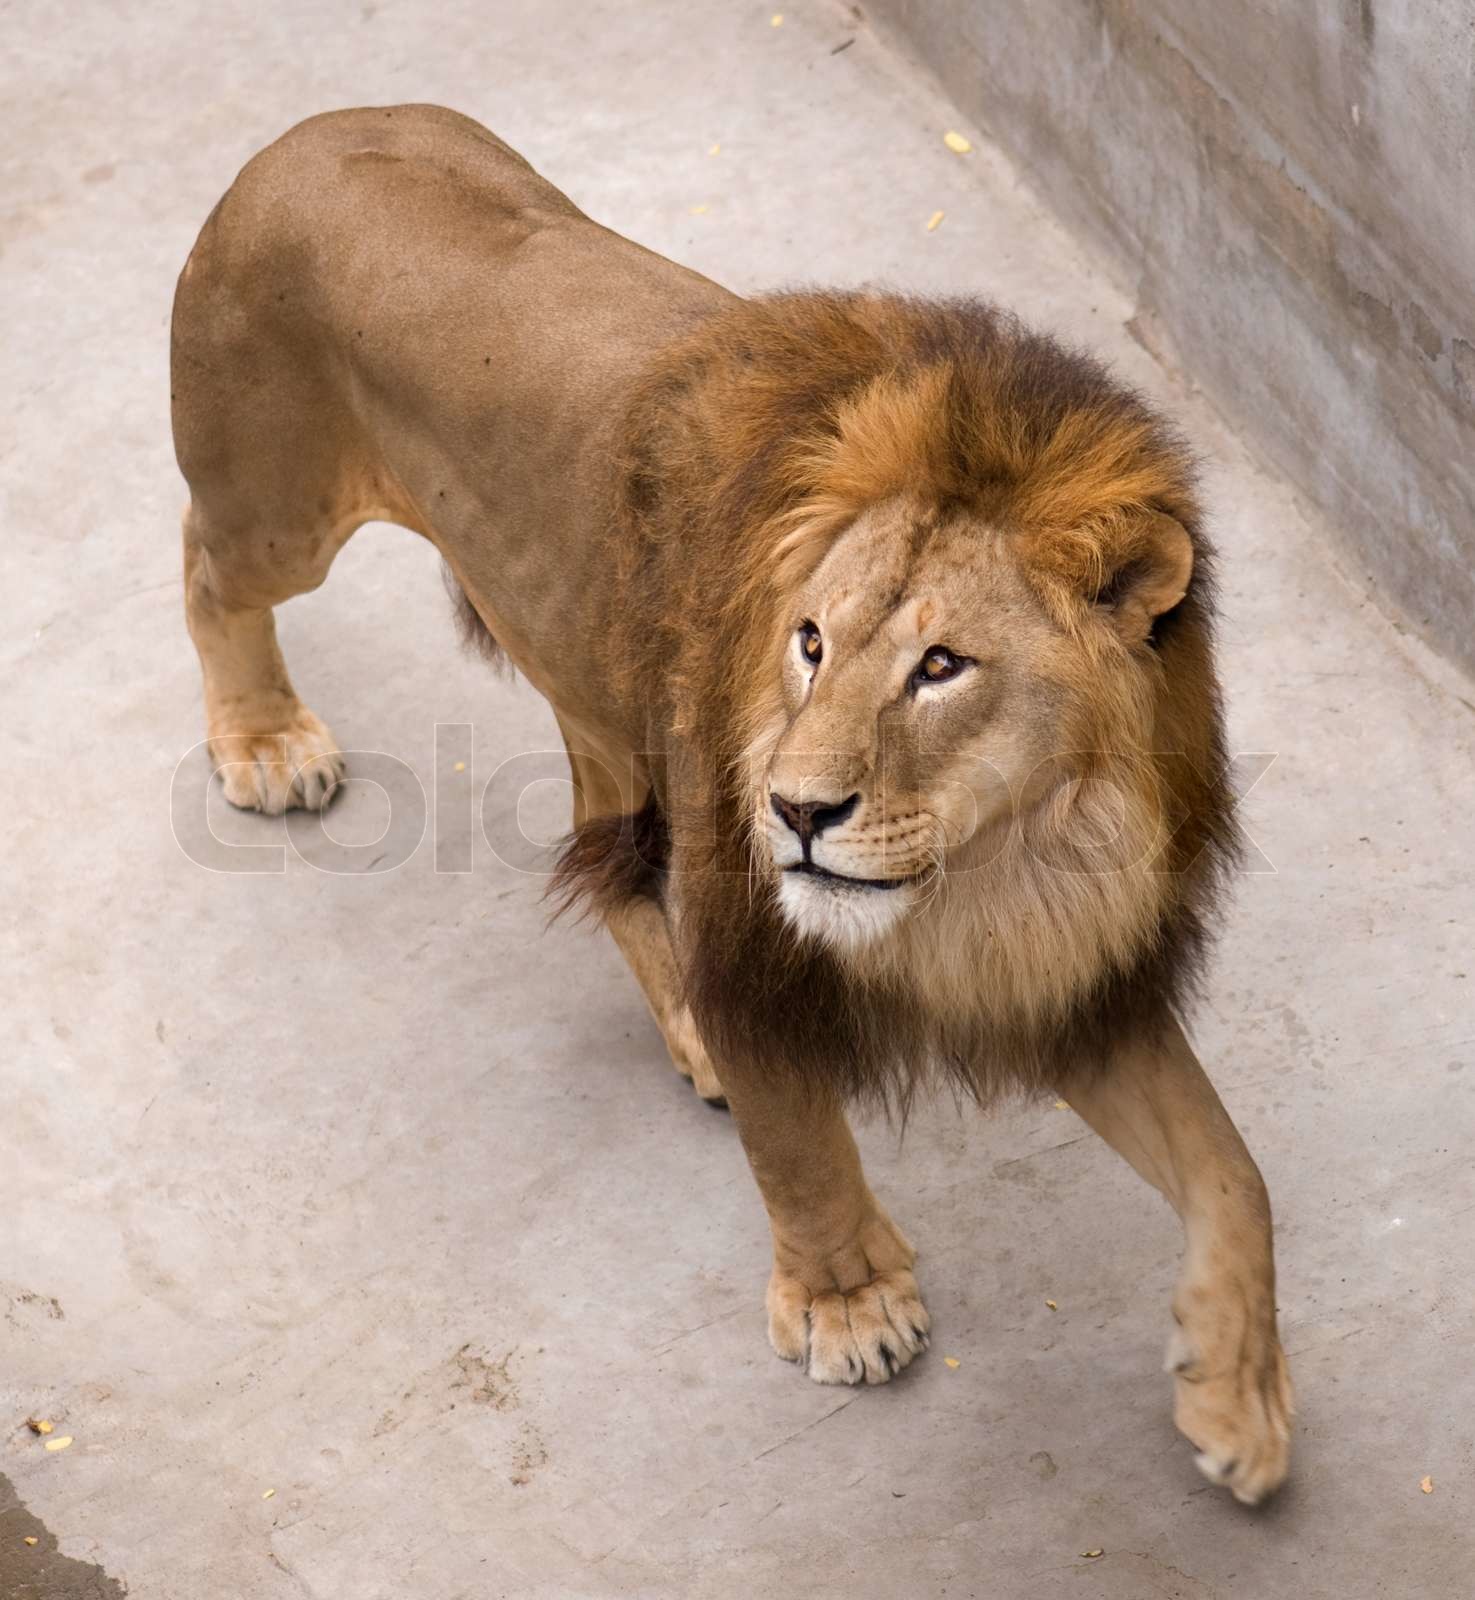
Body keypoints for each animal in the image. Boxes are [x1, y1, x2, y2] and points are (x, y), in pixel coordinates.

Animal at [171, 104, 1292, 1504]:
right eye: (809, 642)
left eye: (940, 665)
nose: (795, 811)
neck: (1004, 865)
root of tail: (312, 130)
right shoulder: (752, 926)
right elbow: (796, 1142)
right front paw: (848, 1302)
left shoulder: (1070, 976)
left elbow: (1231, 1172)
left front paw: (1237, 1398)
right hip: (282, 512)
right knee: (204, 567)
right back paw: (265, 740)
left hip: (594, 675)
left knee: (597, 850)